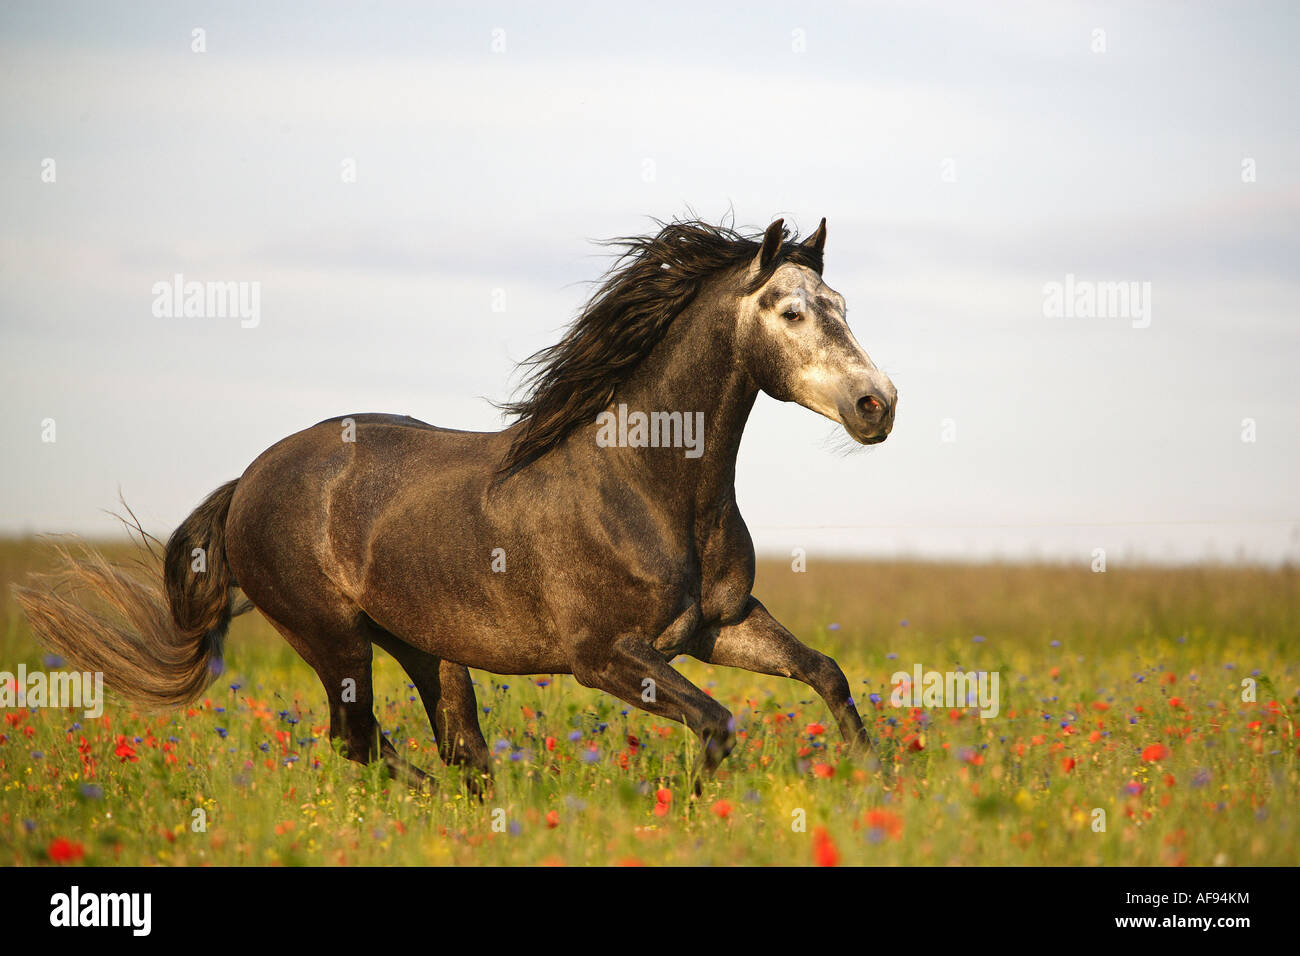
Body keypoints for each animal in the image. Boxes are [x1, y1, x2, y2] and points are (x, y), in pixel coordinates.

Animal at [16, 216, 897, 794]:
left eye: (843, 306)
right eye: (791, 310)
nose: (877, 405)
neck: (649, 487)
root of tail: (247, 482)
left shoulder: (719, 627)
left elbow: (826, 674)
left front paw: (874, 783)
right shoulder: (605, 655)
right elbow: (715, 724)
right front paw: (686, 811)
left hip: (421, 644)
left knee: (457, 747)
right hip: (334, 640)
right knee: (362, 743)